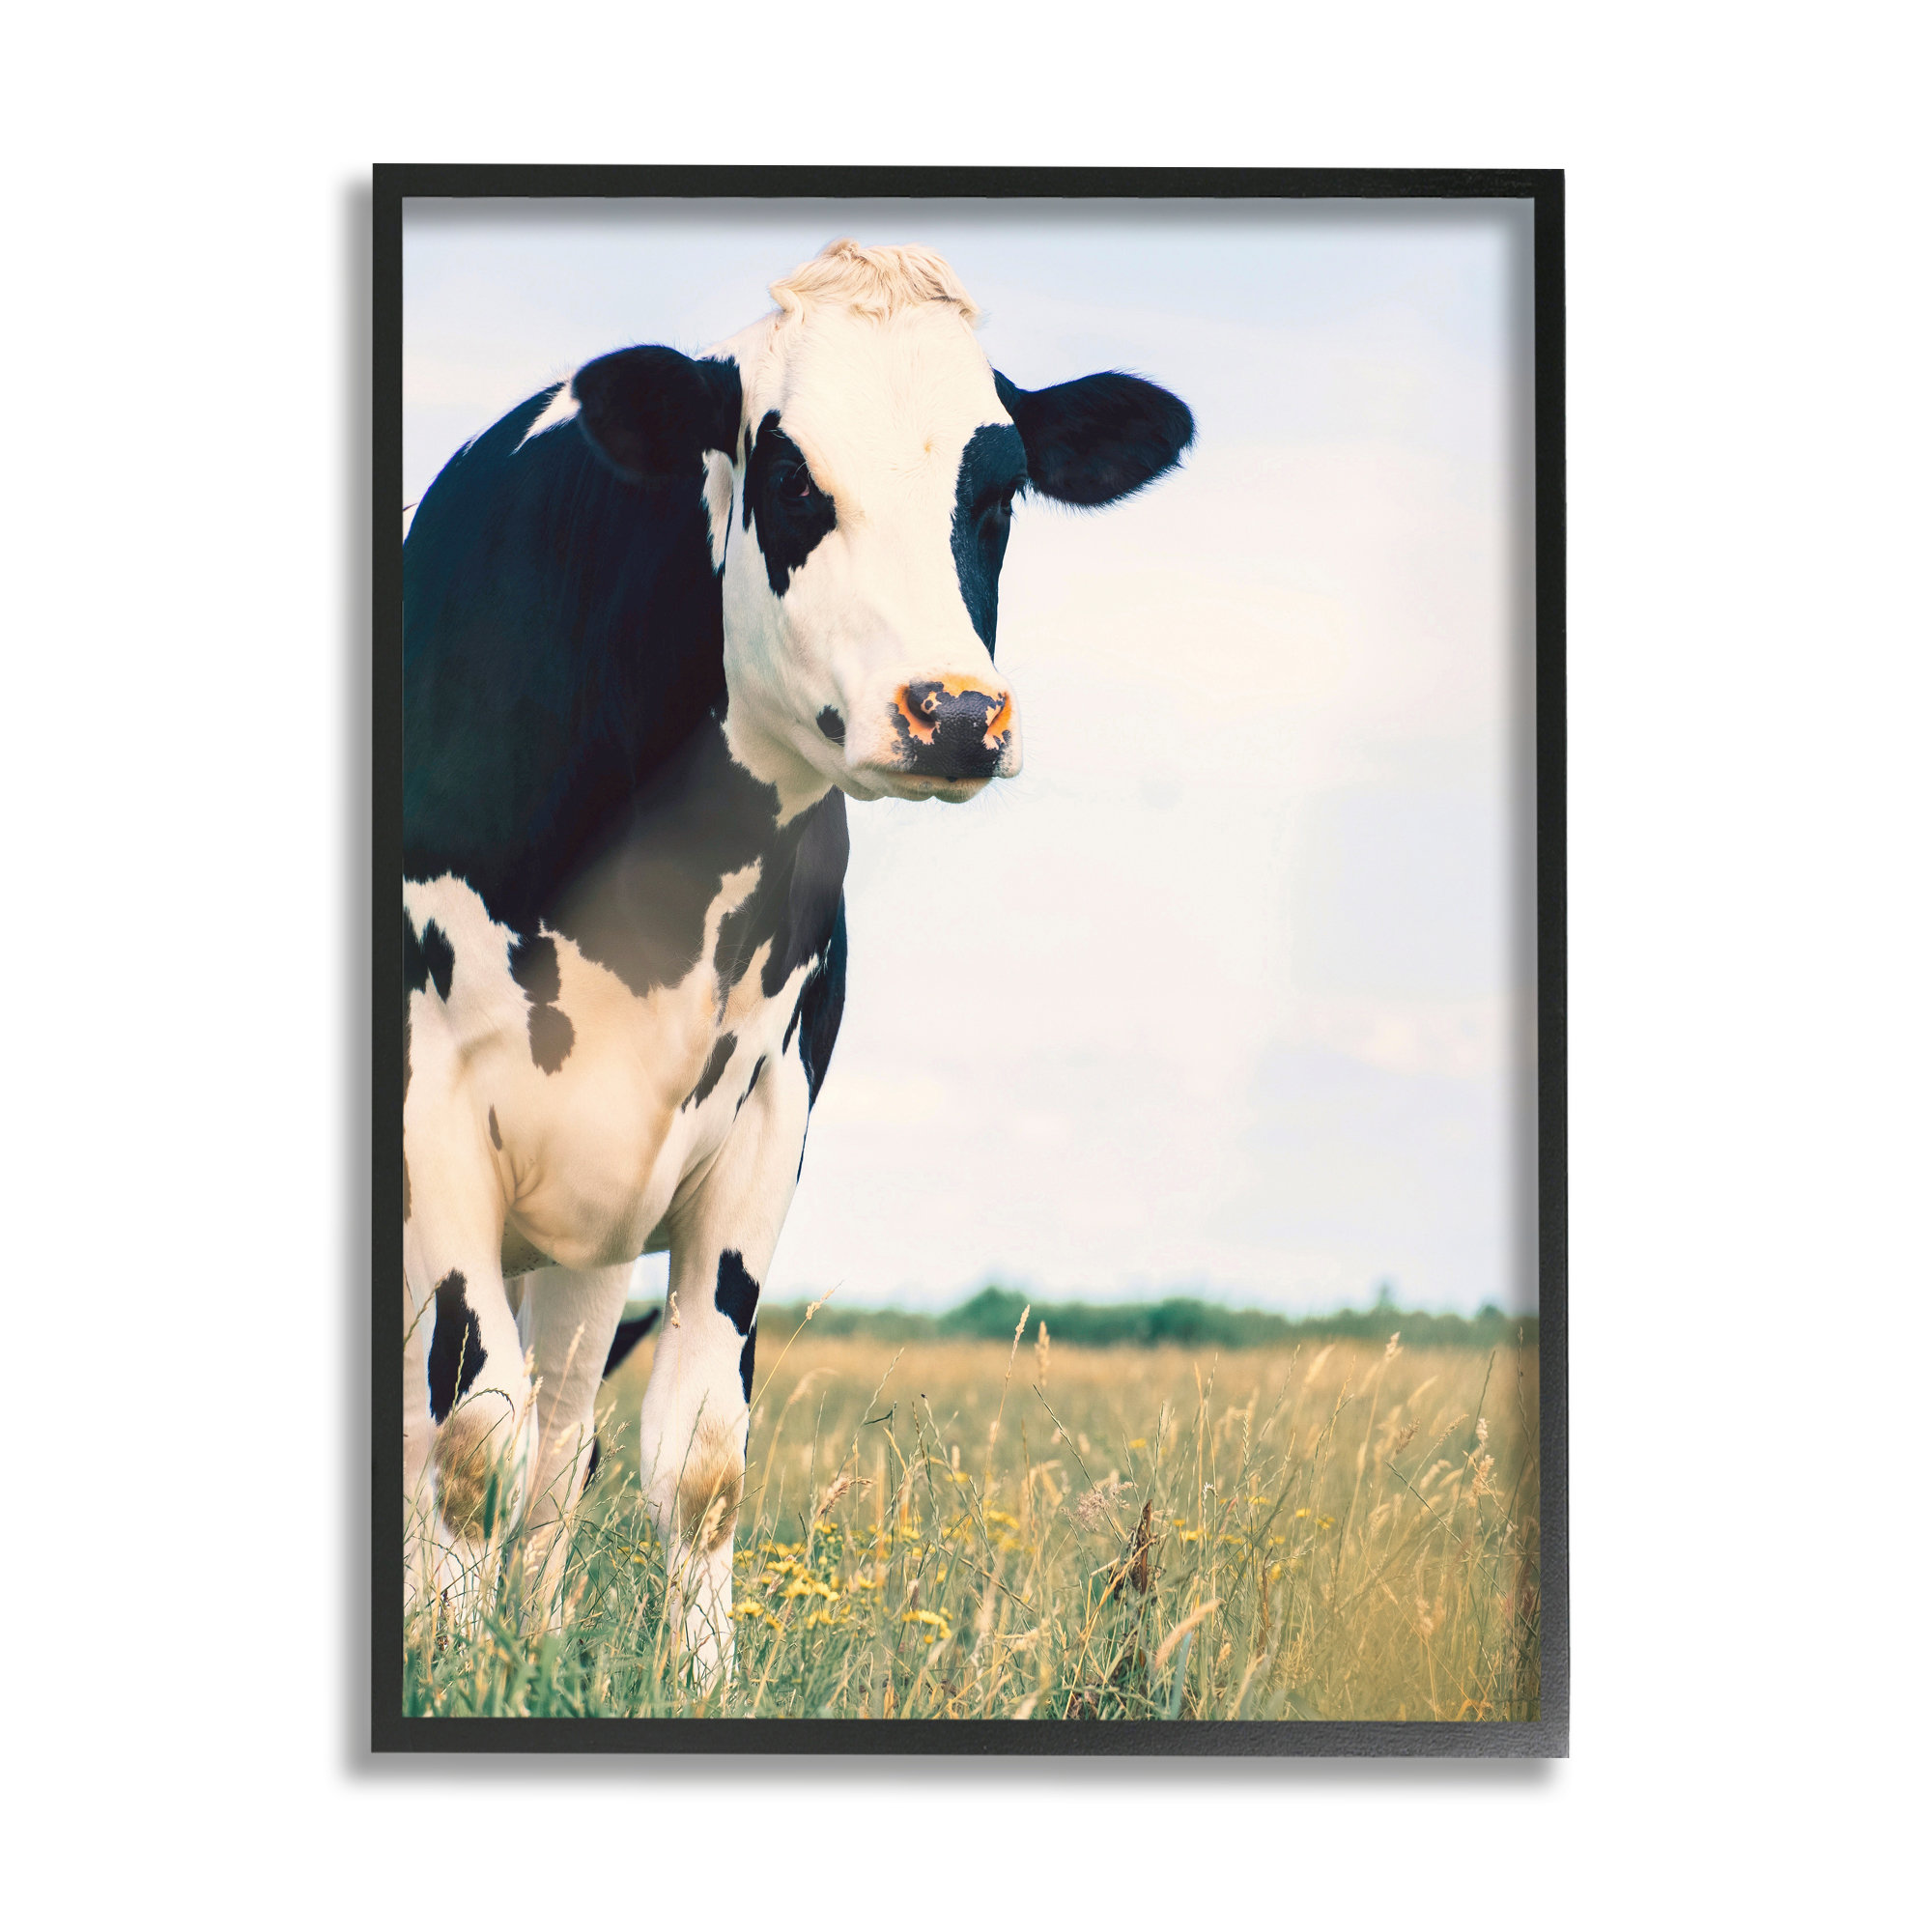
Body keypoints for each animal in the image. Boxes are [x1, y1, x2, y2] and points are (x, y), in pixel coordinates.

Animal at [402, 239, 1192, 1680]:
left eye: (997, 491)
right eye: (787, 478)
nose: (955, 712)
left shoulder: (763, 1112)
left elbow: (689, 1456)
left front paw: (681, 1677)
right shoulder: (434, 1093)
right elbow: (471, 1436)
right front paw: (457, 1672)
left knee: (560, 1434)